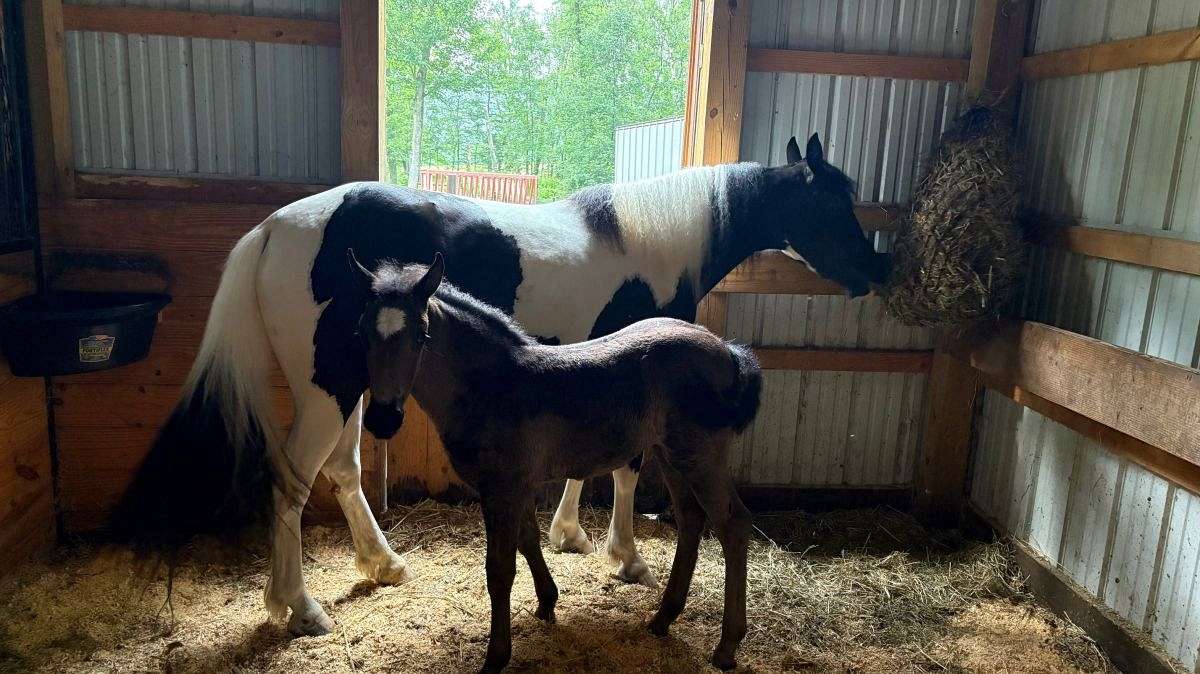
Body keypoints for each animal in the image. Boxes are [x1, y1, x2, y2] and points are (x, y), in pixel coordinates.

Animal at [354, 252, 761, 672]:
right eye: (362, 333)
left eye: (421, 336)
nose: (382, 419)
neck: (494, 384)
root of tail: (727, 351)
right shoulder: (516, 485)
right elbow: (528, 540)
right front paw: (547, 602)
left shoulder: (502, 487)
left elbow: (500, 569)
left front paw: (497, 655)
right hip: (672, 456)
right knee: (690, 518)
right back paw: (663, 618)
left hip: (701, 458)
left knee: (733, 524)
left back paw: (727, 645)